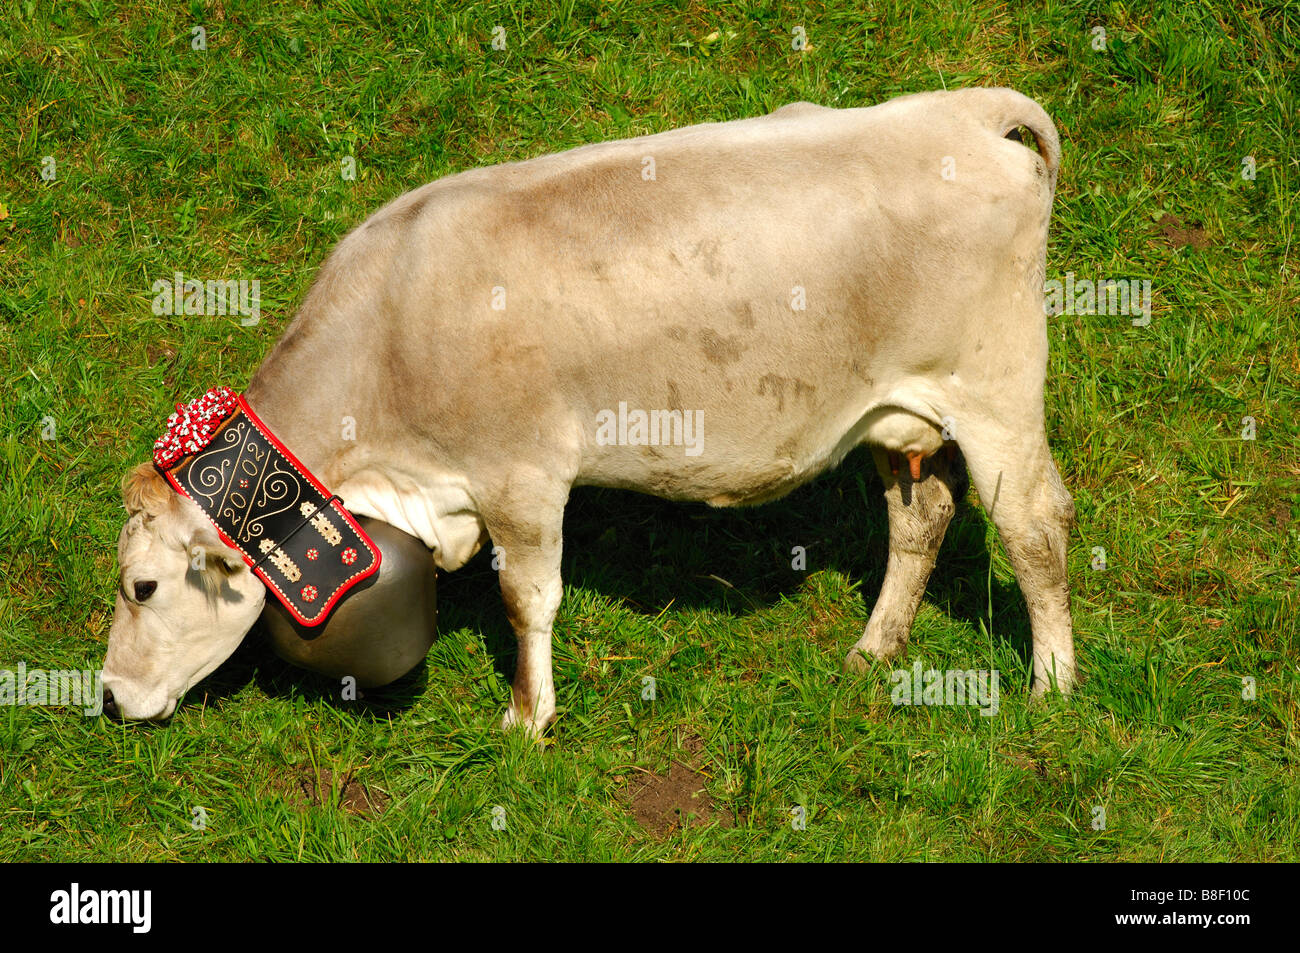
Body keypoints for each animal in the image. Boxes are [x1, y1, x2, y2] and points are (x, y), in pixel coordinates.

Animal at [103, 87, 1076, 735]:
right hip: (896, 412)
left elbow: (527, 598)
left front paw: (527, 719)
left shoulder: (521, 475)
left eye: (141, 586)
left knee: (1036, 526)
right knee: (922, 517)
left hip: (997, 389)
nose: (109, 695)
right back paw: (873, 651)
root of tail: (962, 109)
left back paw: (1054, 686)